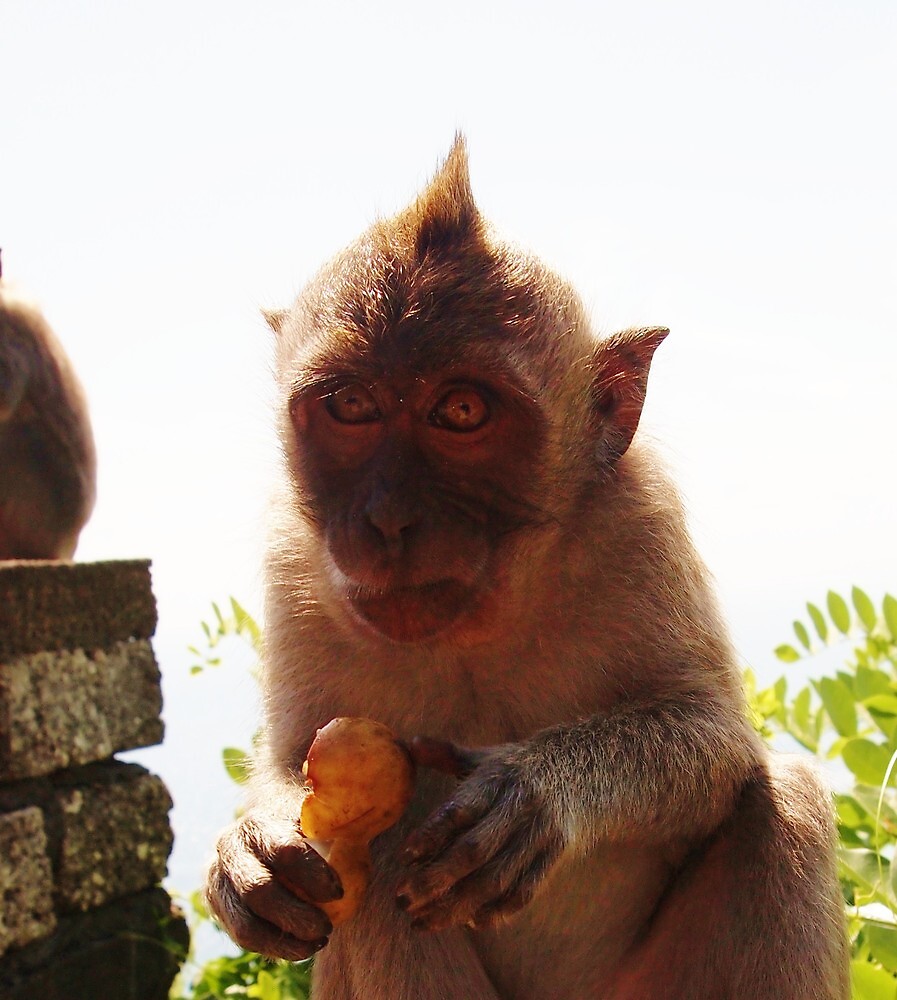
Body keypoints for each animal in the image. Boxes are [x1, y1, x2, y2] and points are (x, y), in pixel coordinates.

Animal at [205, 138, 849, 999]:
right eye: (351, 406)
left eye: (461, 412)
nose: (388, 519)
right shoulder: (293, 558)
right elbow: (294, 758)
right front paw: (247, 857)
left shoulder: (640, 520)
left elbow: (716, 739)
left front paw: (538, 789)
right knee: (380, 850)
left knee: (783, 800)